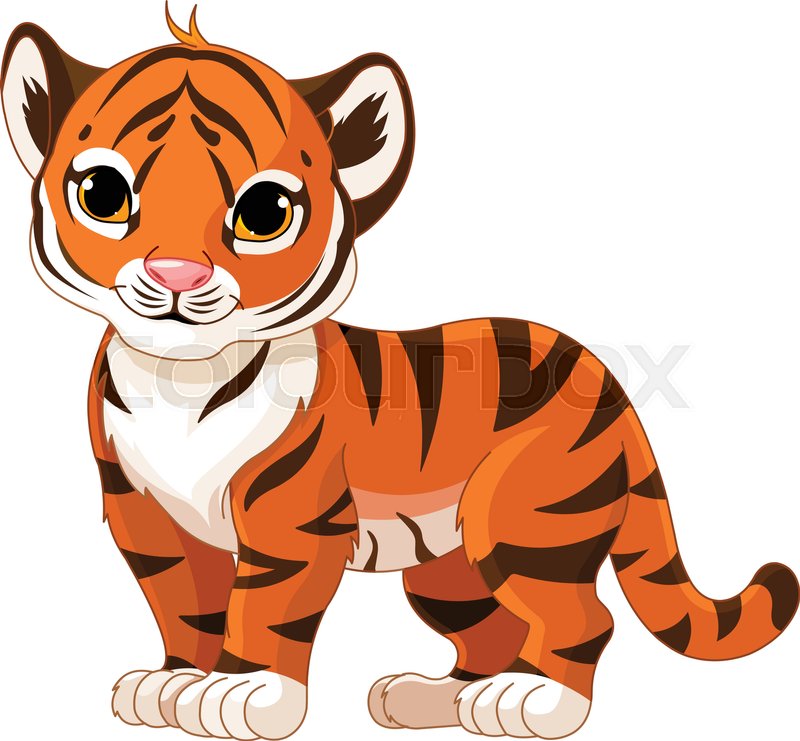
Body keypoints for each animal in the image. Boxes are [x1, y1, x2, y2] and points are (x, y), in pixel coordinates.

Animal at [1, 6, 797, 740]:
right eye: (104, 195)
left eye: (265, 212)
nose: (176, 275)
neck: (178, 376)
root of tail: (605, 374)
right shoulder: (145, 515)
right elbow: (183, 602)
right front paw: (172, 684)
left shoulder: (291, 514)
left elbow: (263, 605)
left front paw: (246, 693)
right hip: (451, 565)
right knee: (492, 628)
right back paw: (439, 698)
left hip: (525, 521)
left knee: (583, 617)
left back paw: (534, 701)